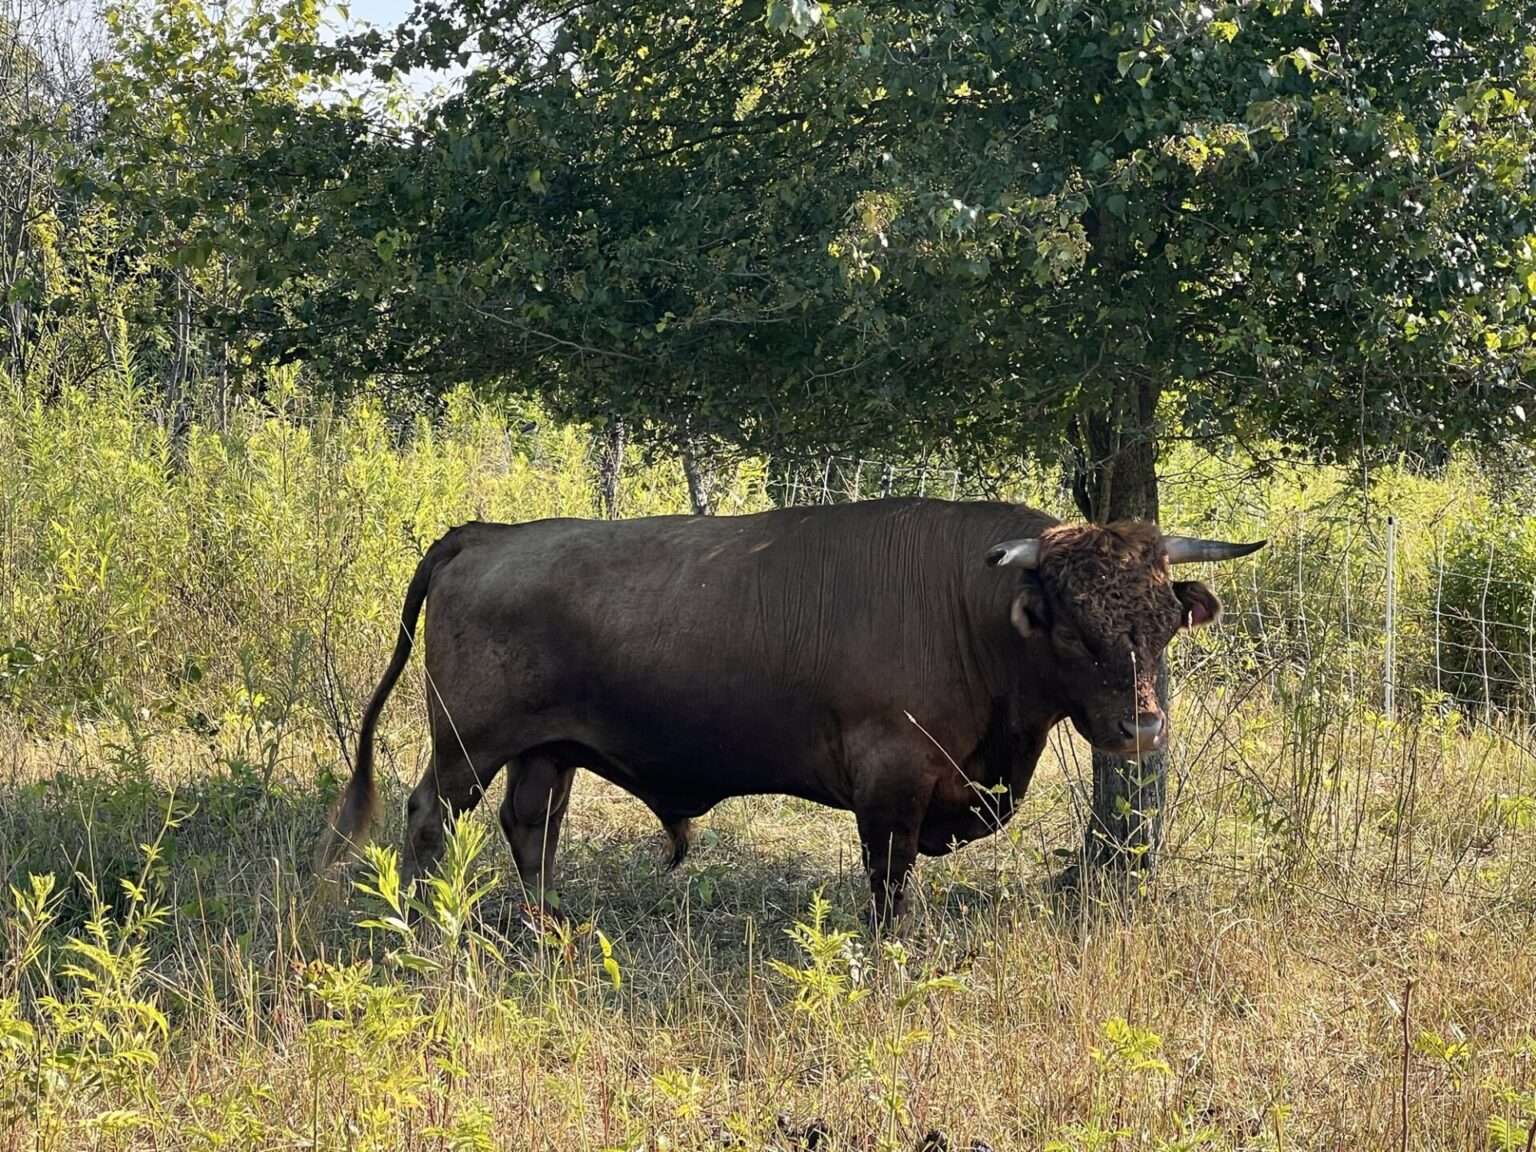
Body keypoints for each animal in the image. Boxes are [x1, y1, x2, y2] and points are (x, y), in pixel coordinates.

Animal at [318, 499, 1262, 924]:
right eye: (1071, 627)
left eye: (1161, 620)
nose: (1142, 726)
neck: (974, 609)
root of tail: (484, 533)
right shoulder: (892, 787)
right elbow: (888, 881)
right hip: (468, 747)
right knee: (431, 815)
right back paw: (422, 921)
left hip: (545, 750)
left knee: (531, 826)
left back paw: (551, 925)